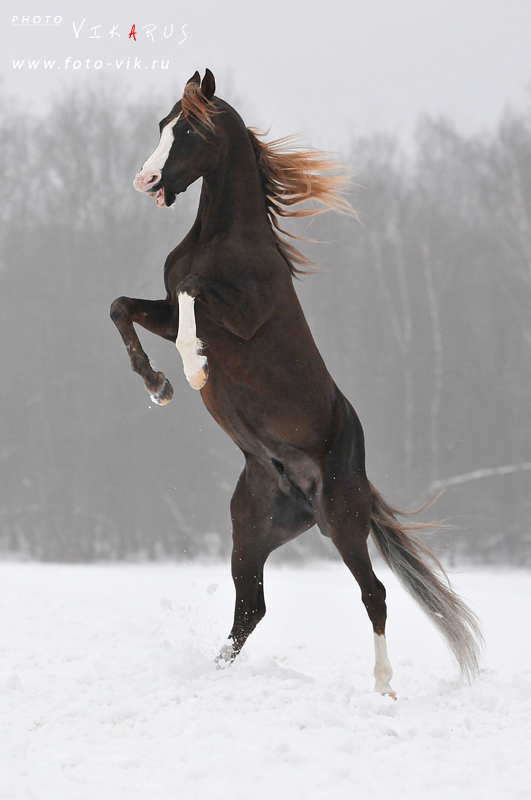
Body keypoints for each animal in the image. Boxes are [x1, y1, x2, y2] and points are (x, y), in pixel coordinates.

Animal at [110, 69, 482, 697]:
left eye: (190, 130)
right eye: (163, 124)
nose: (146, 180)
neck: (225, 239)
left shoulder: (235, 313)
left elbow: (191, 292)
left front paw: (193, 369)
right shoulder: (159, 309)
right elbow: (123, 307)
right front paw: (158, 385)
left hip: (343, 521)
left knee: (374, 593)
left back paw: (384, 688)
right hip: (254, 530)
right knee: (251, 607)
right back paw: (215, 673)